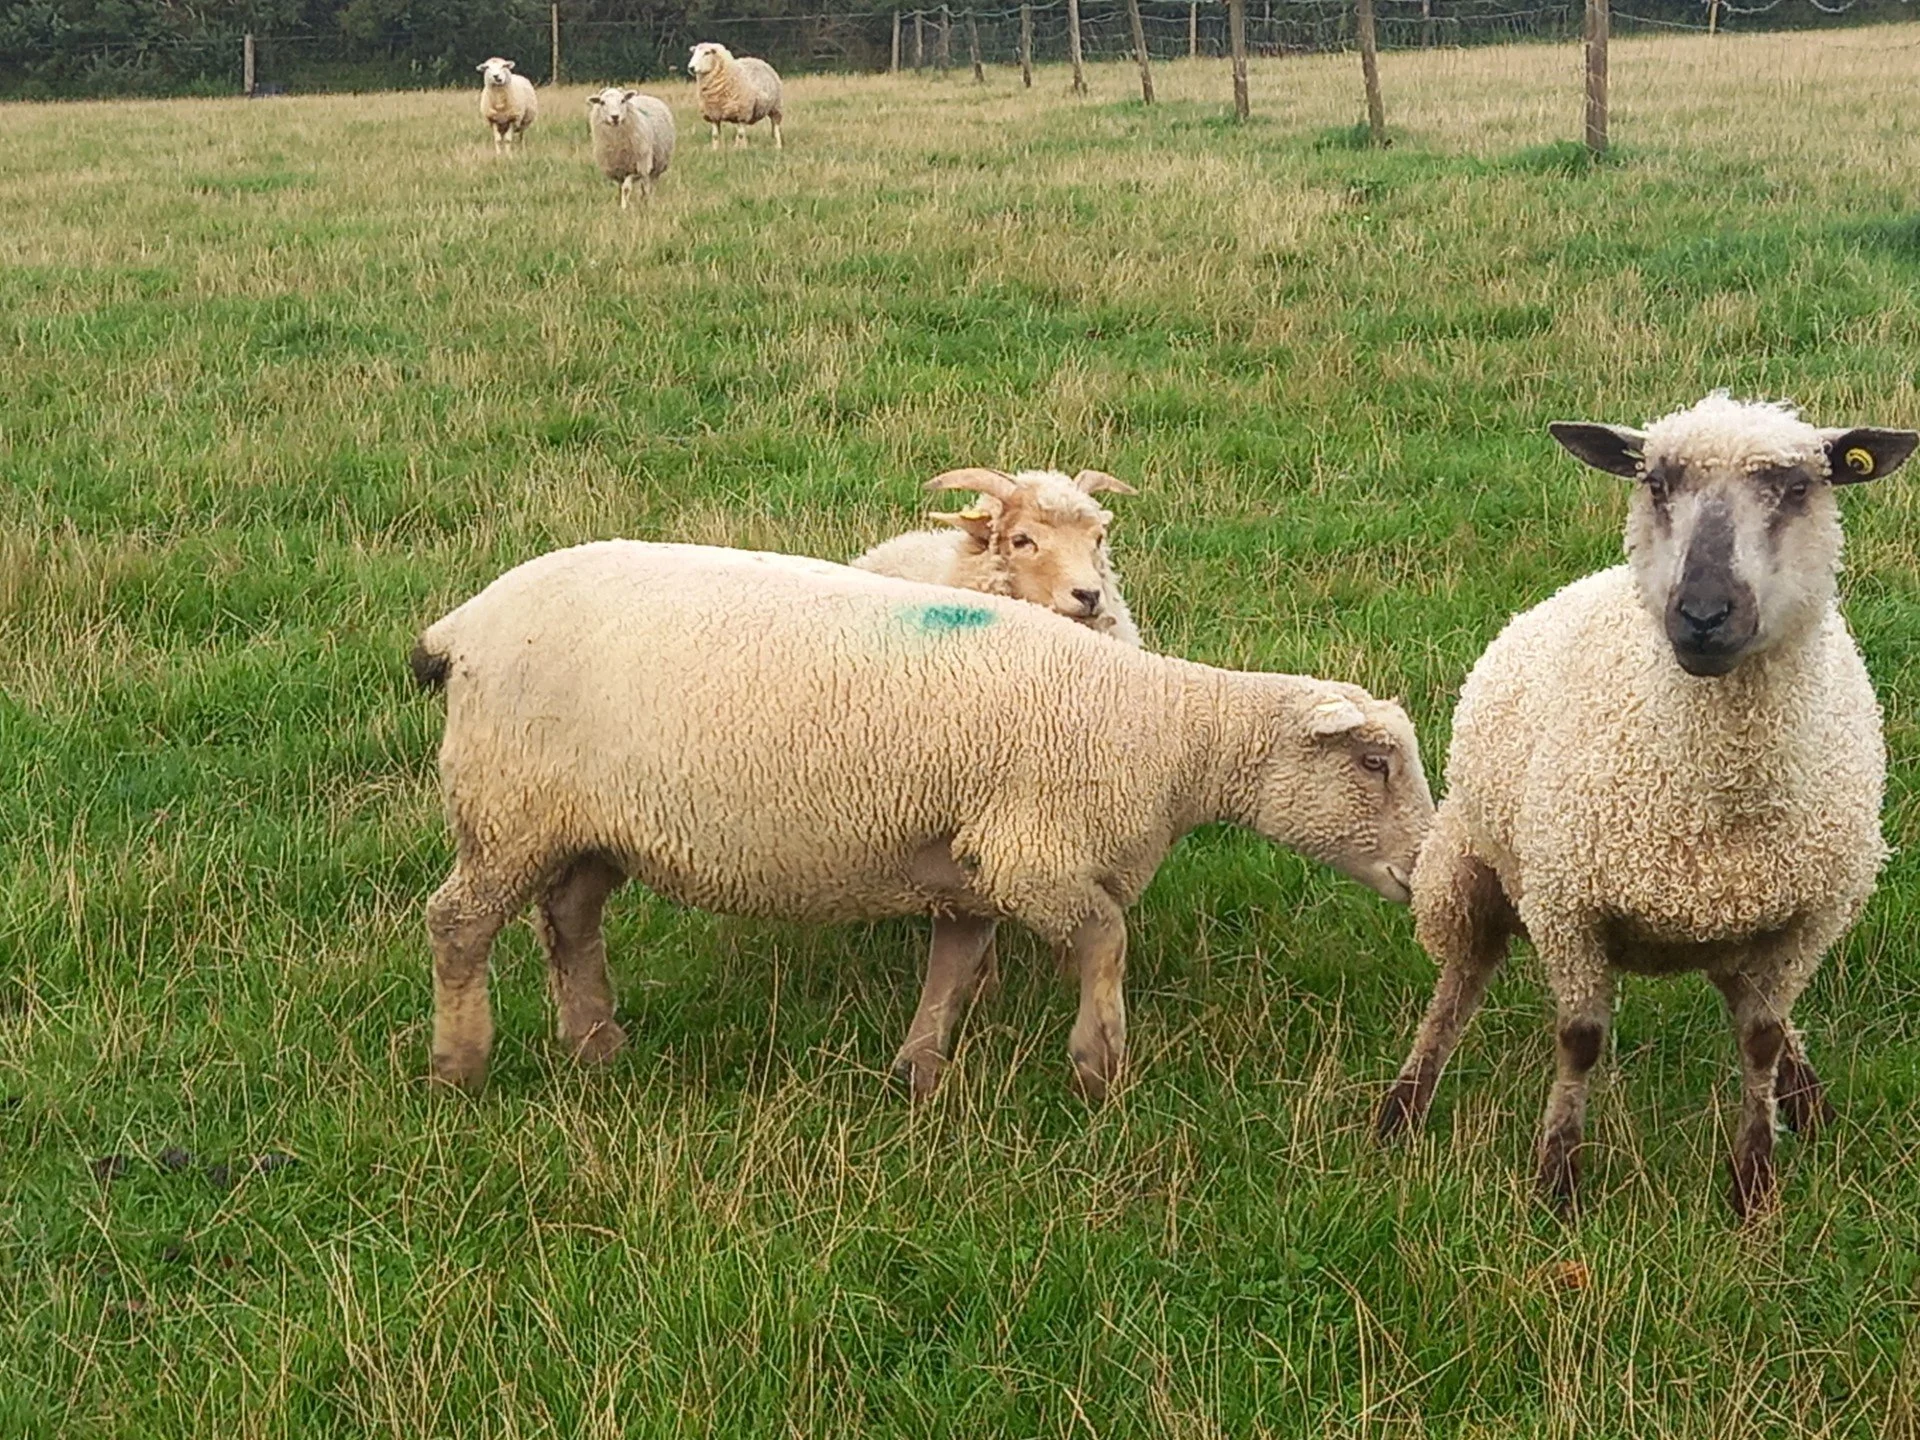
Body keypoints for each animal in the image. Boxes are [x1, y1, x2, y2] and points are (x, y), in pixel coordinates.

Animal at [410, 540, 1433, 1102]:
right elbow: (1106, 941)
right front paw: (1099, 1064)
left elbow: (955, 969)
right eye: (1375, 762)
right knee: (457, 923)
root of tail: (459, 628)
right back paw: (461, 1065)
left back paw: (595, 1044)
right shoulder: (1031, 854)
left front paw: (919, 1072)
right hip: (507, 808)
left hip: (585, 823)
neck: (1173, 737)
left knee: (570, 921)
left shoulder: (973, 867)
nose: (1424, 873)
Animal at [1375, 394, 1916, 1220]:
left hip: (1733, 928)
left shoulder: (1810, 917)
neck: (1718, 798)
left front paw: (1754, 1185)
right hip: (1465, 872)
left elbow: (1759, 1037)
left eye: (1798, 488)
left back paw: (1806, 1098)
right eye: (1656, 483)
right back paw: (1403, 1107)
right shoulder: (1567, 907)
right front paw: (1557, 1182)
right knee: (1457, 987)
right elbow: (1580, 1039)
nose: (1702, 613)